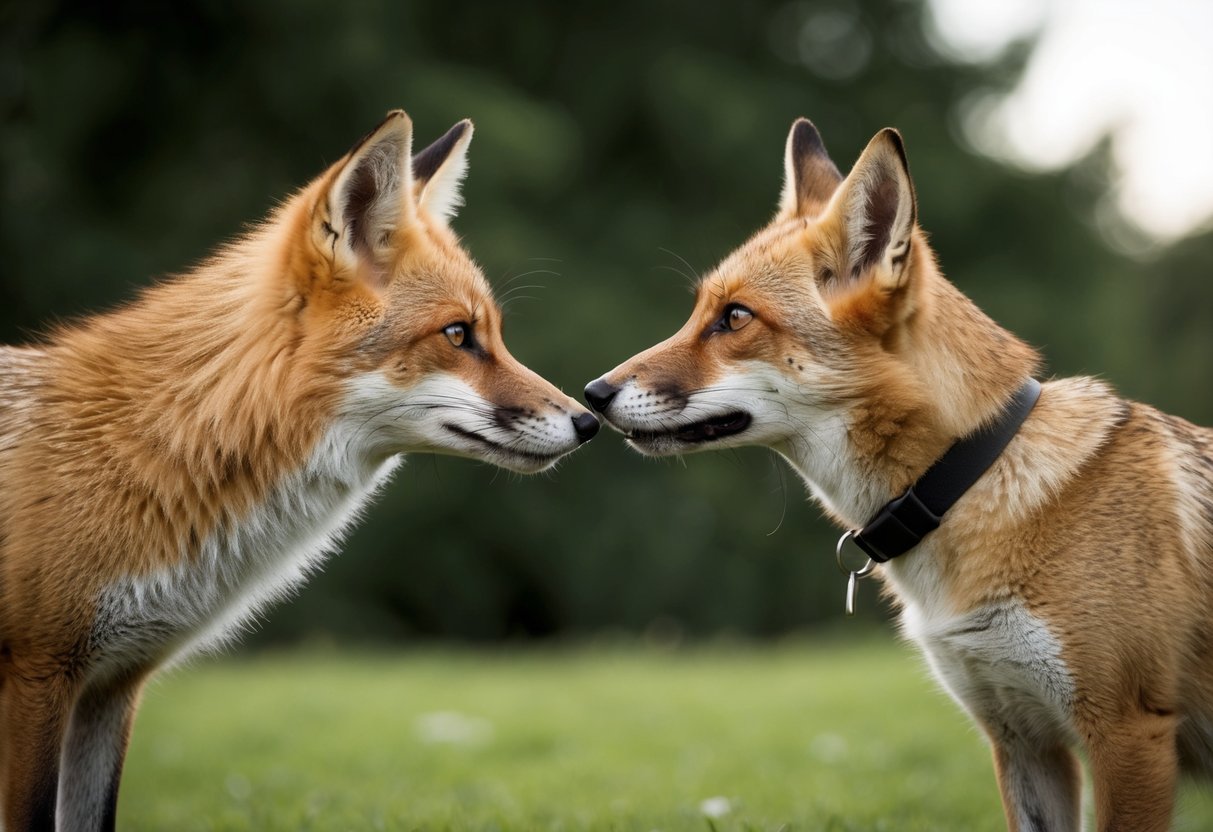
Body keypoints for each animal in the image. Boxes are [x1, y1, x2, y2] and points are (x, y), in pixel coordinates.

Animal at [0, 109, 600, 831]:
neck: (156, 447)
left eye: (495, 335)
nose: (589, 419)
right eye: (458, 335)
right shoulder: (38, 674)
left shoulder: (111, 687)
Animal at [585, 118, 1213, 831]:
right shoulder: (1022, 740)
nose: (592, 395)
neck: (966, 480)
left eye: (735, 318)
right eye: (697, 314)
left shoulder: (1127, 736)